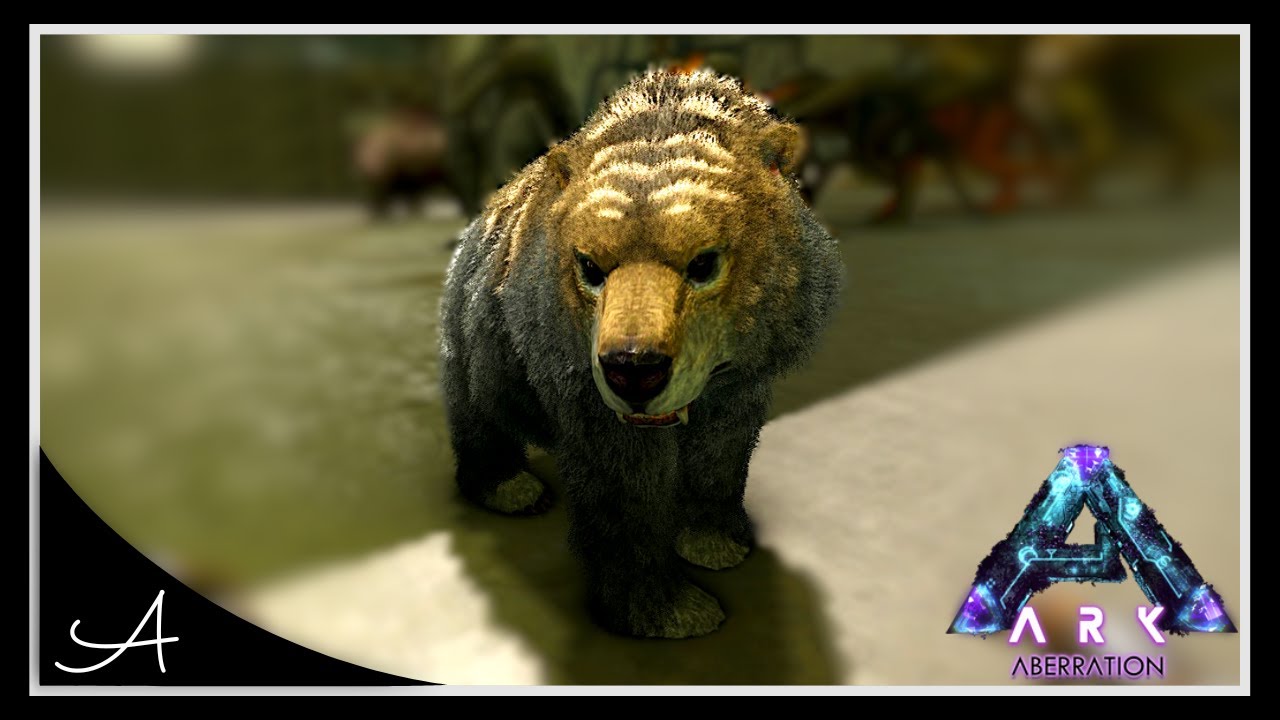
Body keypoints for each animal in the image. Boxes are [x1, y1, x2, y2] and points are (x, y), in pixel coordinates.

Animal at [439, 69, 843, 639]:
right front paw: (670, 611)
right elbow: (624, 487)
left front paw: (716, 543)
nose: (634, 371)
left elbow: (721, 452)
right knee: (478, 403)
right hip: (475, 326)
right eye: (589, 266)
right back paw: (508, 486)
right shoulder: (584, 389)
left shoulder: (740, 381)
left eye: (703, 263)